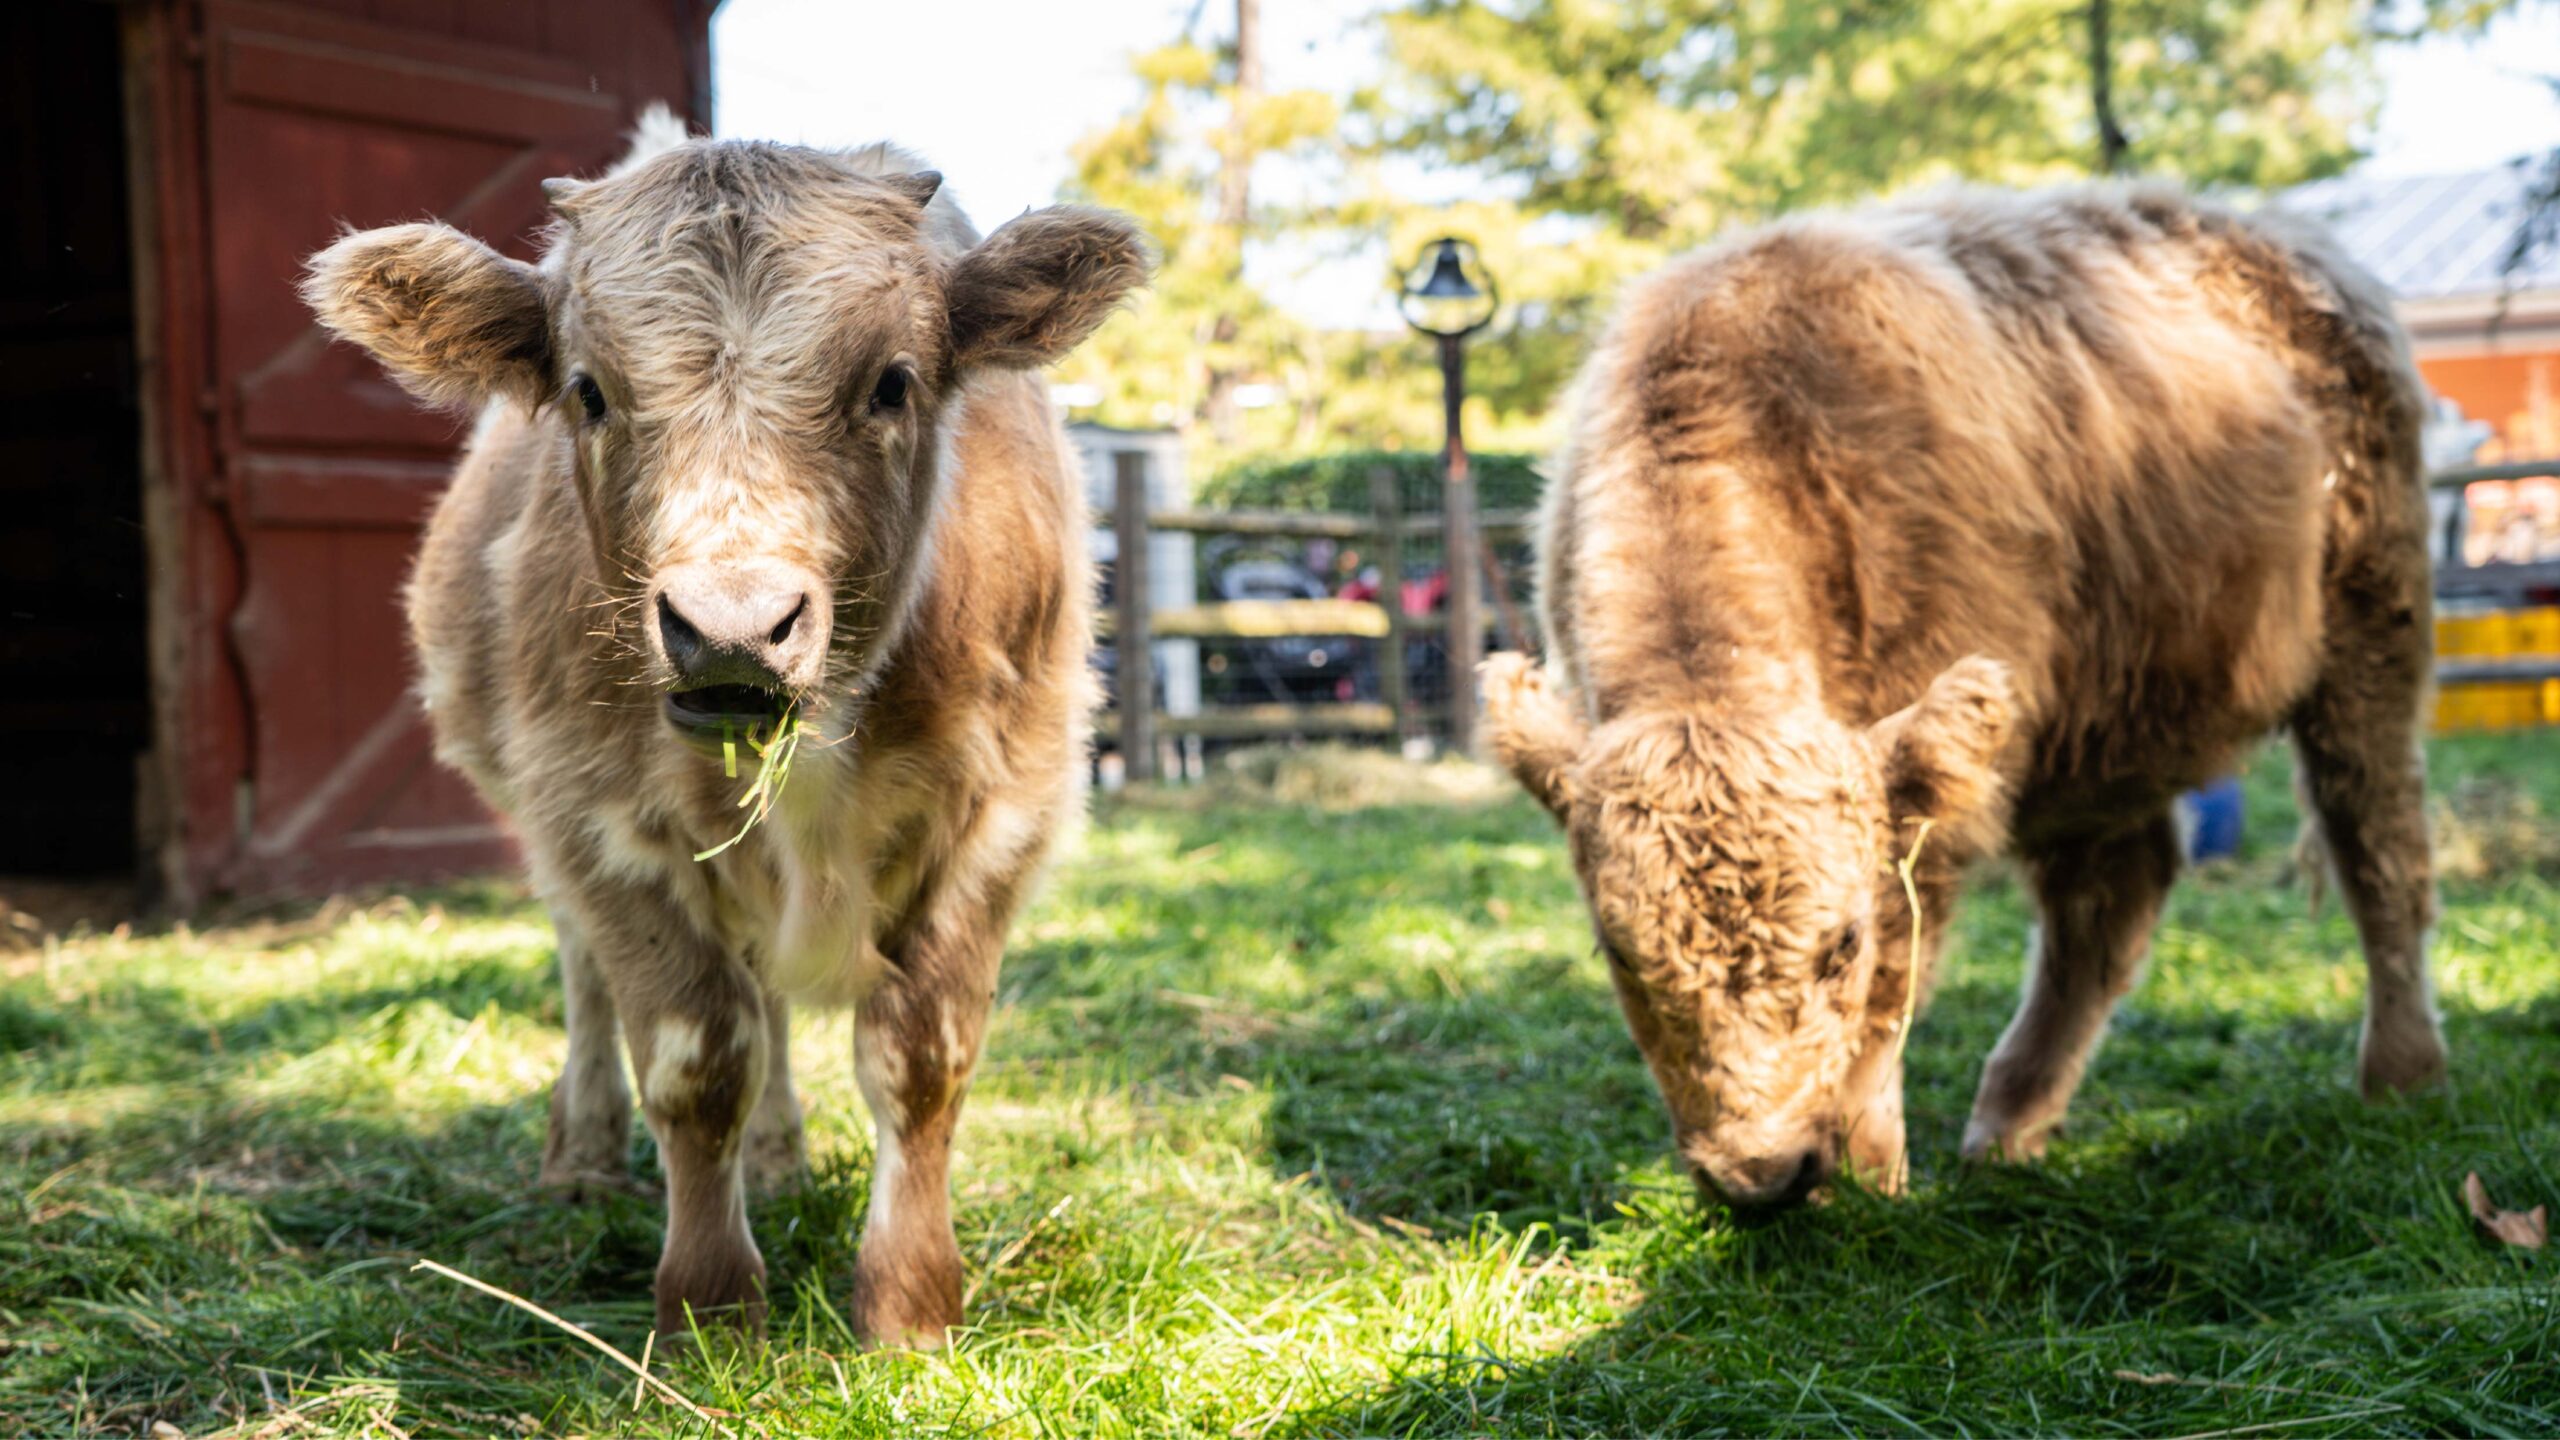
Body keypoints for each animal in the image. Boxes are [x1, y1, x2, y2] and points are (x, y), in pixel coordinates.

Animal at [302, 111, 1147, 1341]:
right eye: (590, 392)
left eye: (892, 383)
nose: (734, 629)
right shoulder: (598, 816)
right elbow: (697, 1058)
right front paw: (709, 1310)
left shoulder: (1006, 805)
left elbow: (921, 1056)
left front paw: (911, 1307)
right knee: (594, 979)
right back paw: (585, 1155)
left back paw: (782, 1159)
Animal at [1483, 182, 2444, 1210]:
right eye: (1621, 953)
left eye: (1840, 945)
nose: (1761, 1175)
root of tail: (2274, 237)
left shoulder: (1921, 804)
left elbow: (1893, 985)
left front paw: (1868, 1185)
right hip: (2101, 723)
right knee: (2109, 900)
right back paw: (2010, 1127)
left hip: (2371, 637)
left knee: (2376, 842)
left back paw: (2401, 1076)